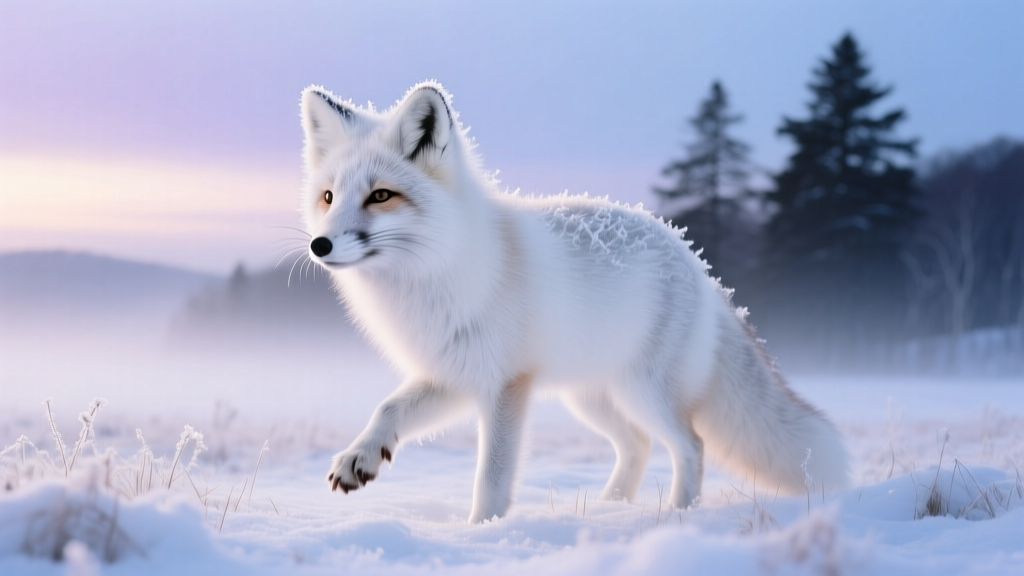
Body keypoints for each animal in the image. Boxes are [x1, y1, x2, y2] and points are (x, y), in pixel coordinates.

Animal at [299, 81, 849, 523]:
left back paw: (676, 516)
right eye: (328, 197)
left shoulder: (506, 384)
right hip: (592, 398)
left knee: (691, 445)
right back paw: (609, 507)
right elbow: (388, 408)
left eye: (380, 196)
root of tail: (698, 264)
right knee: (638, 446)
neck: (436, 274)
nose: (319, 246)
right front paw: (361, 457)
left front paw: (482, 533)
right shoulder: (454, 374)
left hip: (642, 392)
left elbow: (491, 478)